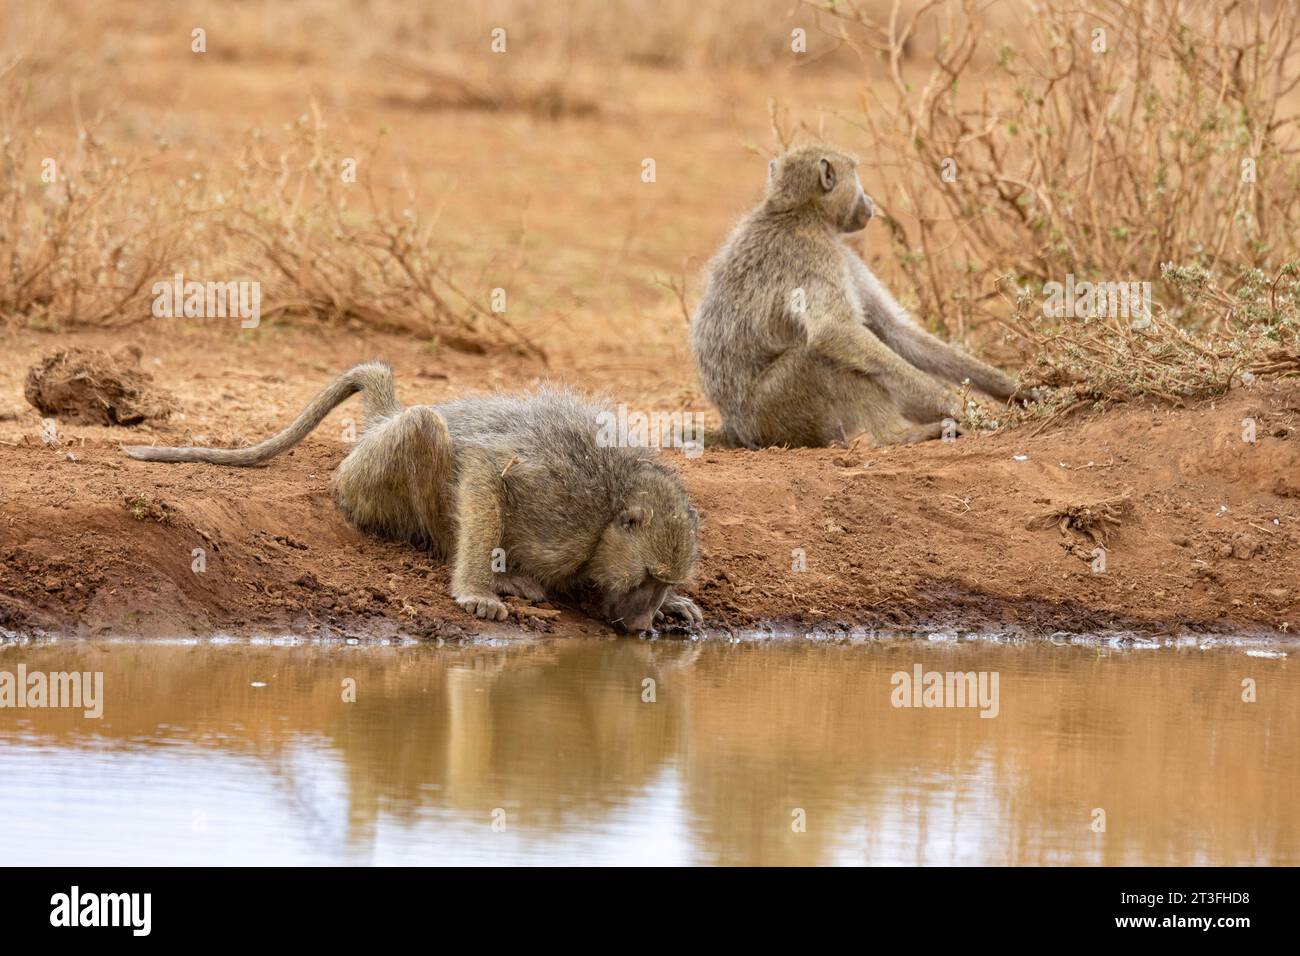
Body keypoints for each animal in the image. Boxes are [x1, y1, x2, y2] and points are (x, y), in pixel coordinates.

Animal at [122, 363, 704, 634]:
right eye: (647, 578)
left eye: (661, 582)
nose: (642, 627)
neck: (612, 507)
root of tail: (382, 421)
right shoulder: (566, 511)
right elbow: (486, 470)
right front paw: (476, 591)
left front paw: (678, 606)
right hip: (364, 479)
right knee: (425, 425)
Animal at [690, 144, 1022, 448]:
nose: (870, 201)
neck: (799, 212)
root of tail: (734, 427)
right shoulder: (816, 254)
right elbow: (836, 331)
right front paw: (953, 404)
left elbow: (895, 330)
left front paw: (1015, 389)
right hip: (773, 413)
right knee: (824, 357)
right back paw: (898, 436)